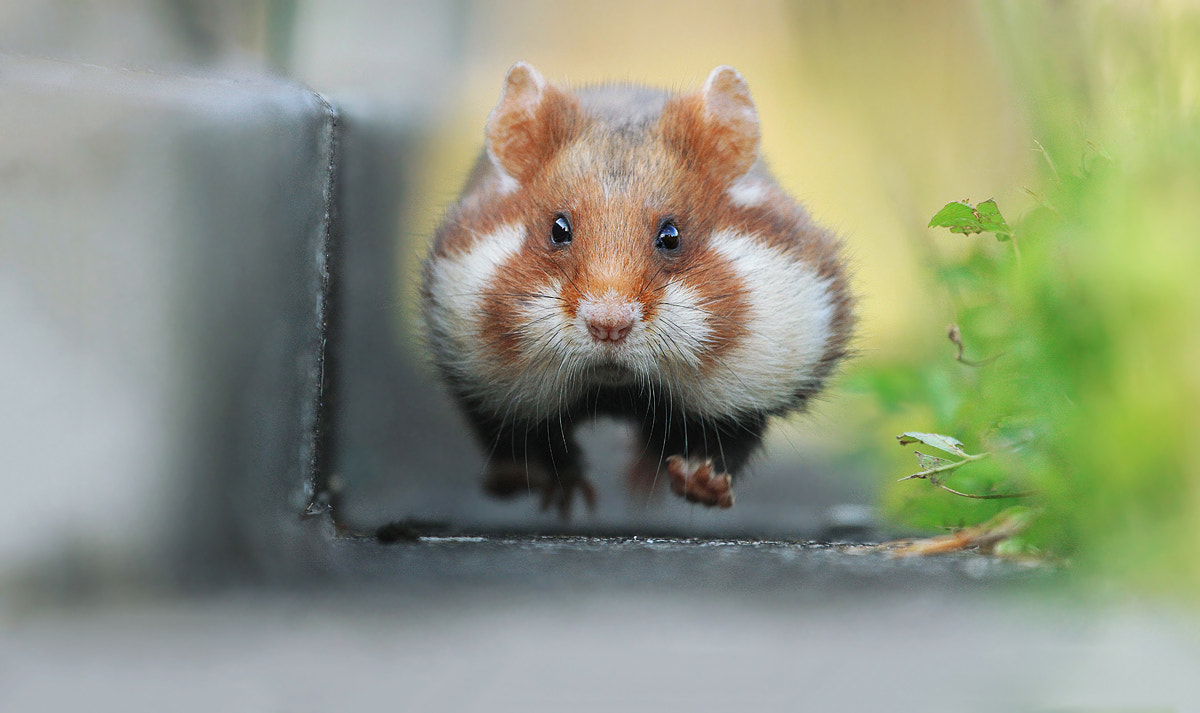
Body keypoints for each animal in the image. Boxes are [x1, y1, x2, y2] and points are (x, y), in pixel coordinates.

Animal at [421, 62, 854, 516]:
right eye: (558, 229)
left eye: (671, 236)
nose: (609, 326)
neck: (615, 388)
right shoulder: (479, 374)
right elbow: (525, 434)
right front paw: (562, 495)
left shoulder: (755, 386)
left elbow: (728, 440)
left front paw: (700, 486)